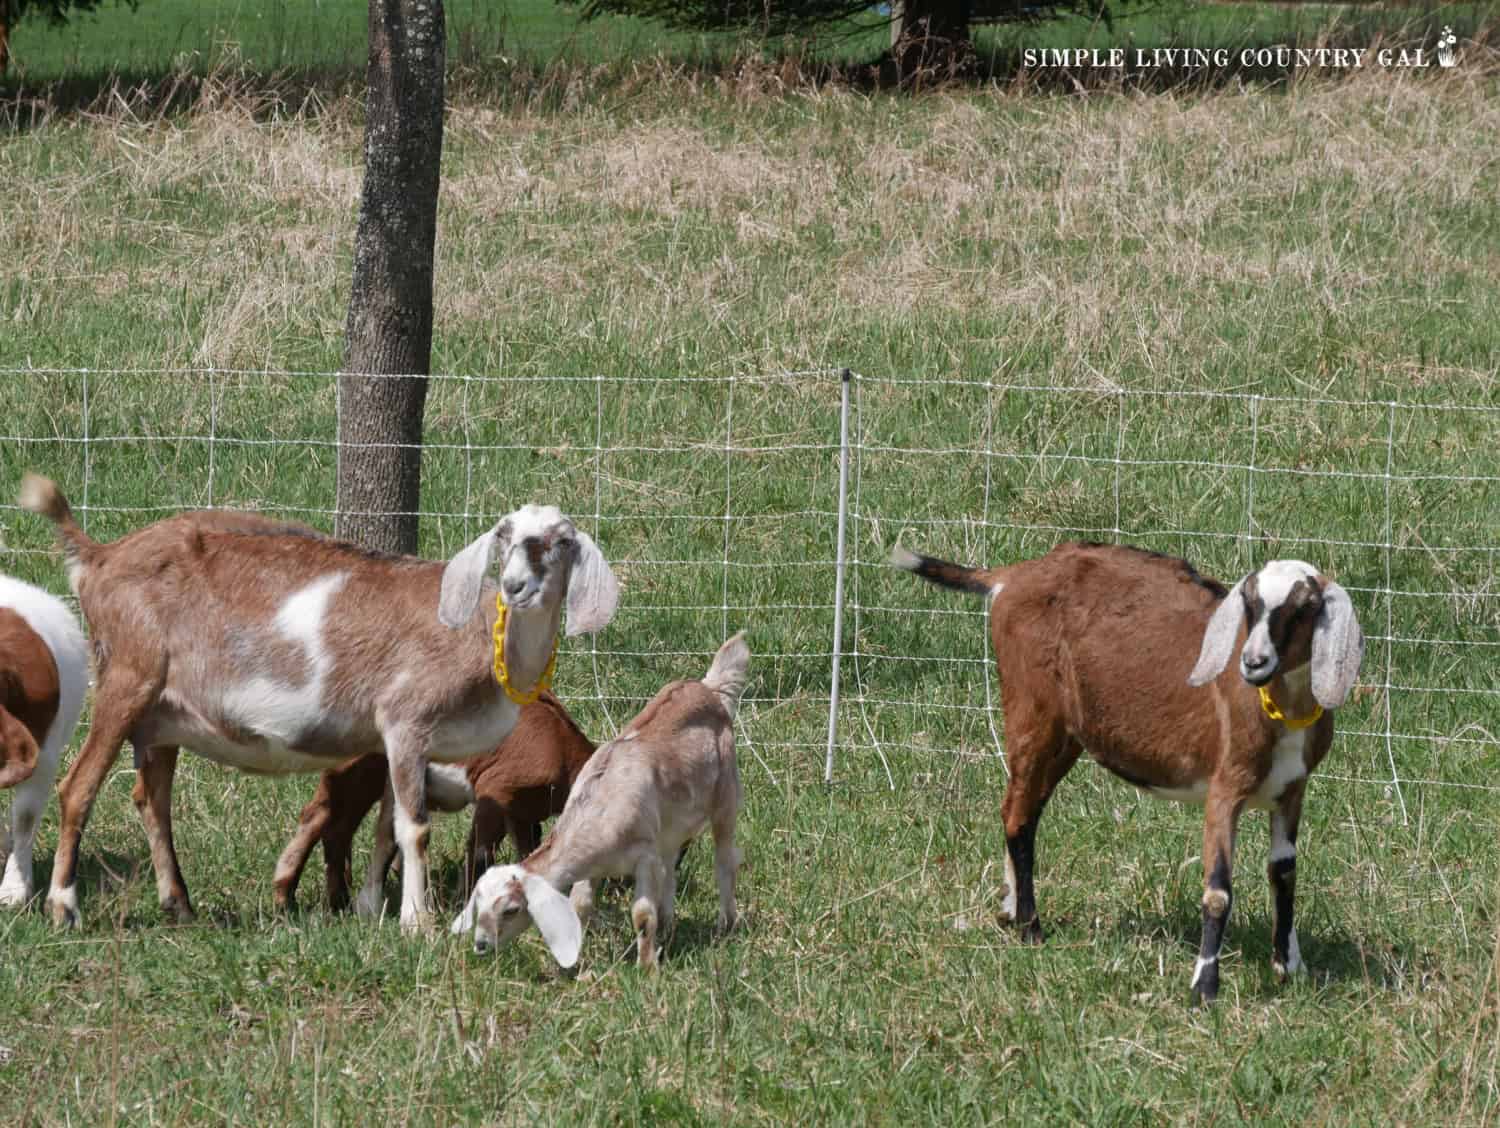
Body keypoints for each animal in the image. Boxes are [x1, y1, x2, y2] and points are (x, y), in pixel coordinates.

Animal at [271, 691, 596, 914]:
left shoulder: (521, 813)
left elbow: (527, 852)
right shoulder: (495, 789)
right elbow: (480, 851)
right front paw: (465, 903)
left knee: (338, 825)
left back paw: (338, 901)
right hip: (358, 765)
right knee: (320, 816)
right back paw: (287, 898)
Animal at [453, 632, 748, 971]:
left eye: (511, 909)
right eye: (479, 903)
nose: (481, 945)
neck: (601, 810)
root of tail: (708, 688)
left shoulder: (644, 856)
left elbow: (642, 915)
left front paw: (647, 969)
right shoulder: (597, 863)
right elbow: (580, 903)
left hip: (726, 795)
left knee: (725, 859)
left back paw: (726, 924)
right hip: (671, 828)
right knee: (672, 870)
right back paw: (669, 926)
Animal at [893, 542, 1363, 1002]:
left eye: (1305, 607)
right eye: (1249, 603)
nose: (1253, 661)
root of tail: (1013, 575)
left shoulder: (1292, 789)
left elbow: (1284, 874)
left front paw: (1289, 966)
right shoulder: (1224, 786)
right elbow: (1217, 892)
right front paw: (1204, 989)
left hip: (1067, 733)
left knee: (1021, 811)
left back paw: (1011, 913)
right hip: (1032, 709)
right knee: (1017, 814)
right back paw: (1031, 928)